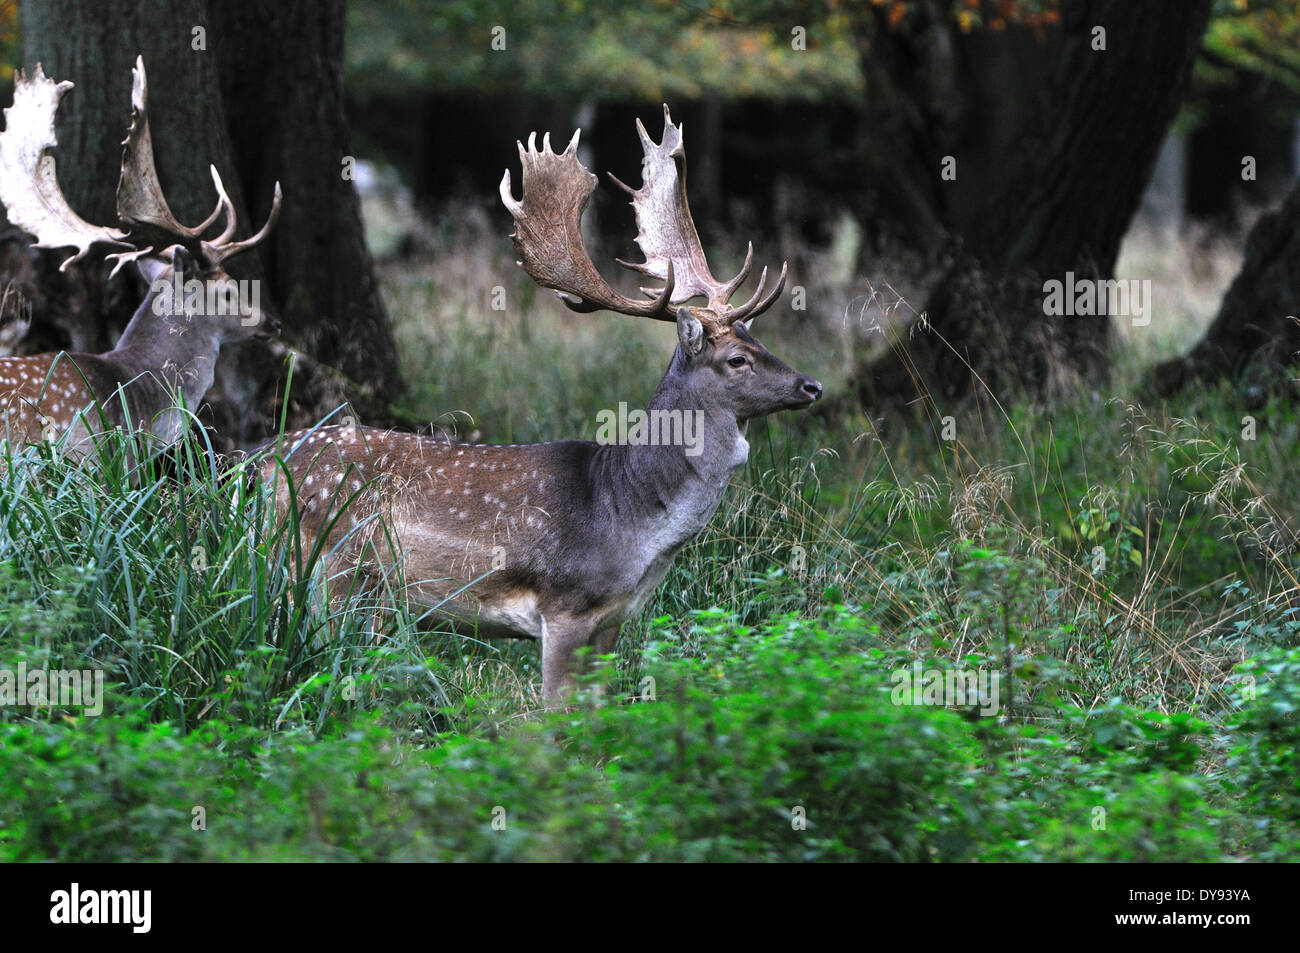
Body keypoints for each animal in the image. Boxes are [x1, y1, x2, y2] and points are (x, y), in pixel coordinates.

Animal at [262, 106, 822, 701]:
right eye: (737, 359)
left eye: (762, 343)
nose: (812, 386)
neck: (629, 520)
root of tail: (258, 467)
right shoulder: (565, 605)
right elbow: (557, 710)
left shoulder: (614, 619)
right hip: (327, 572)